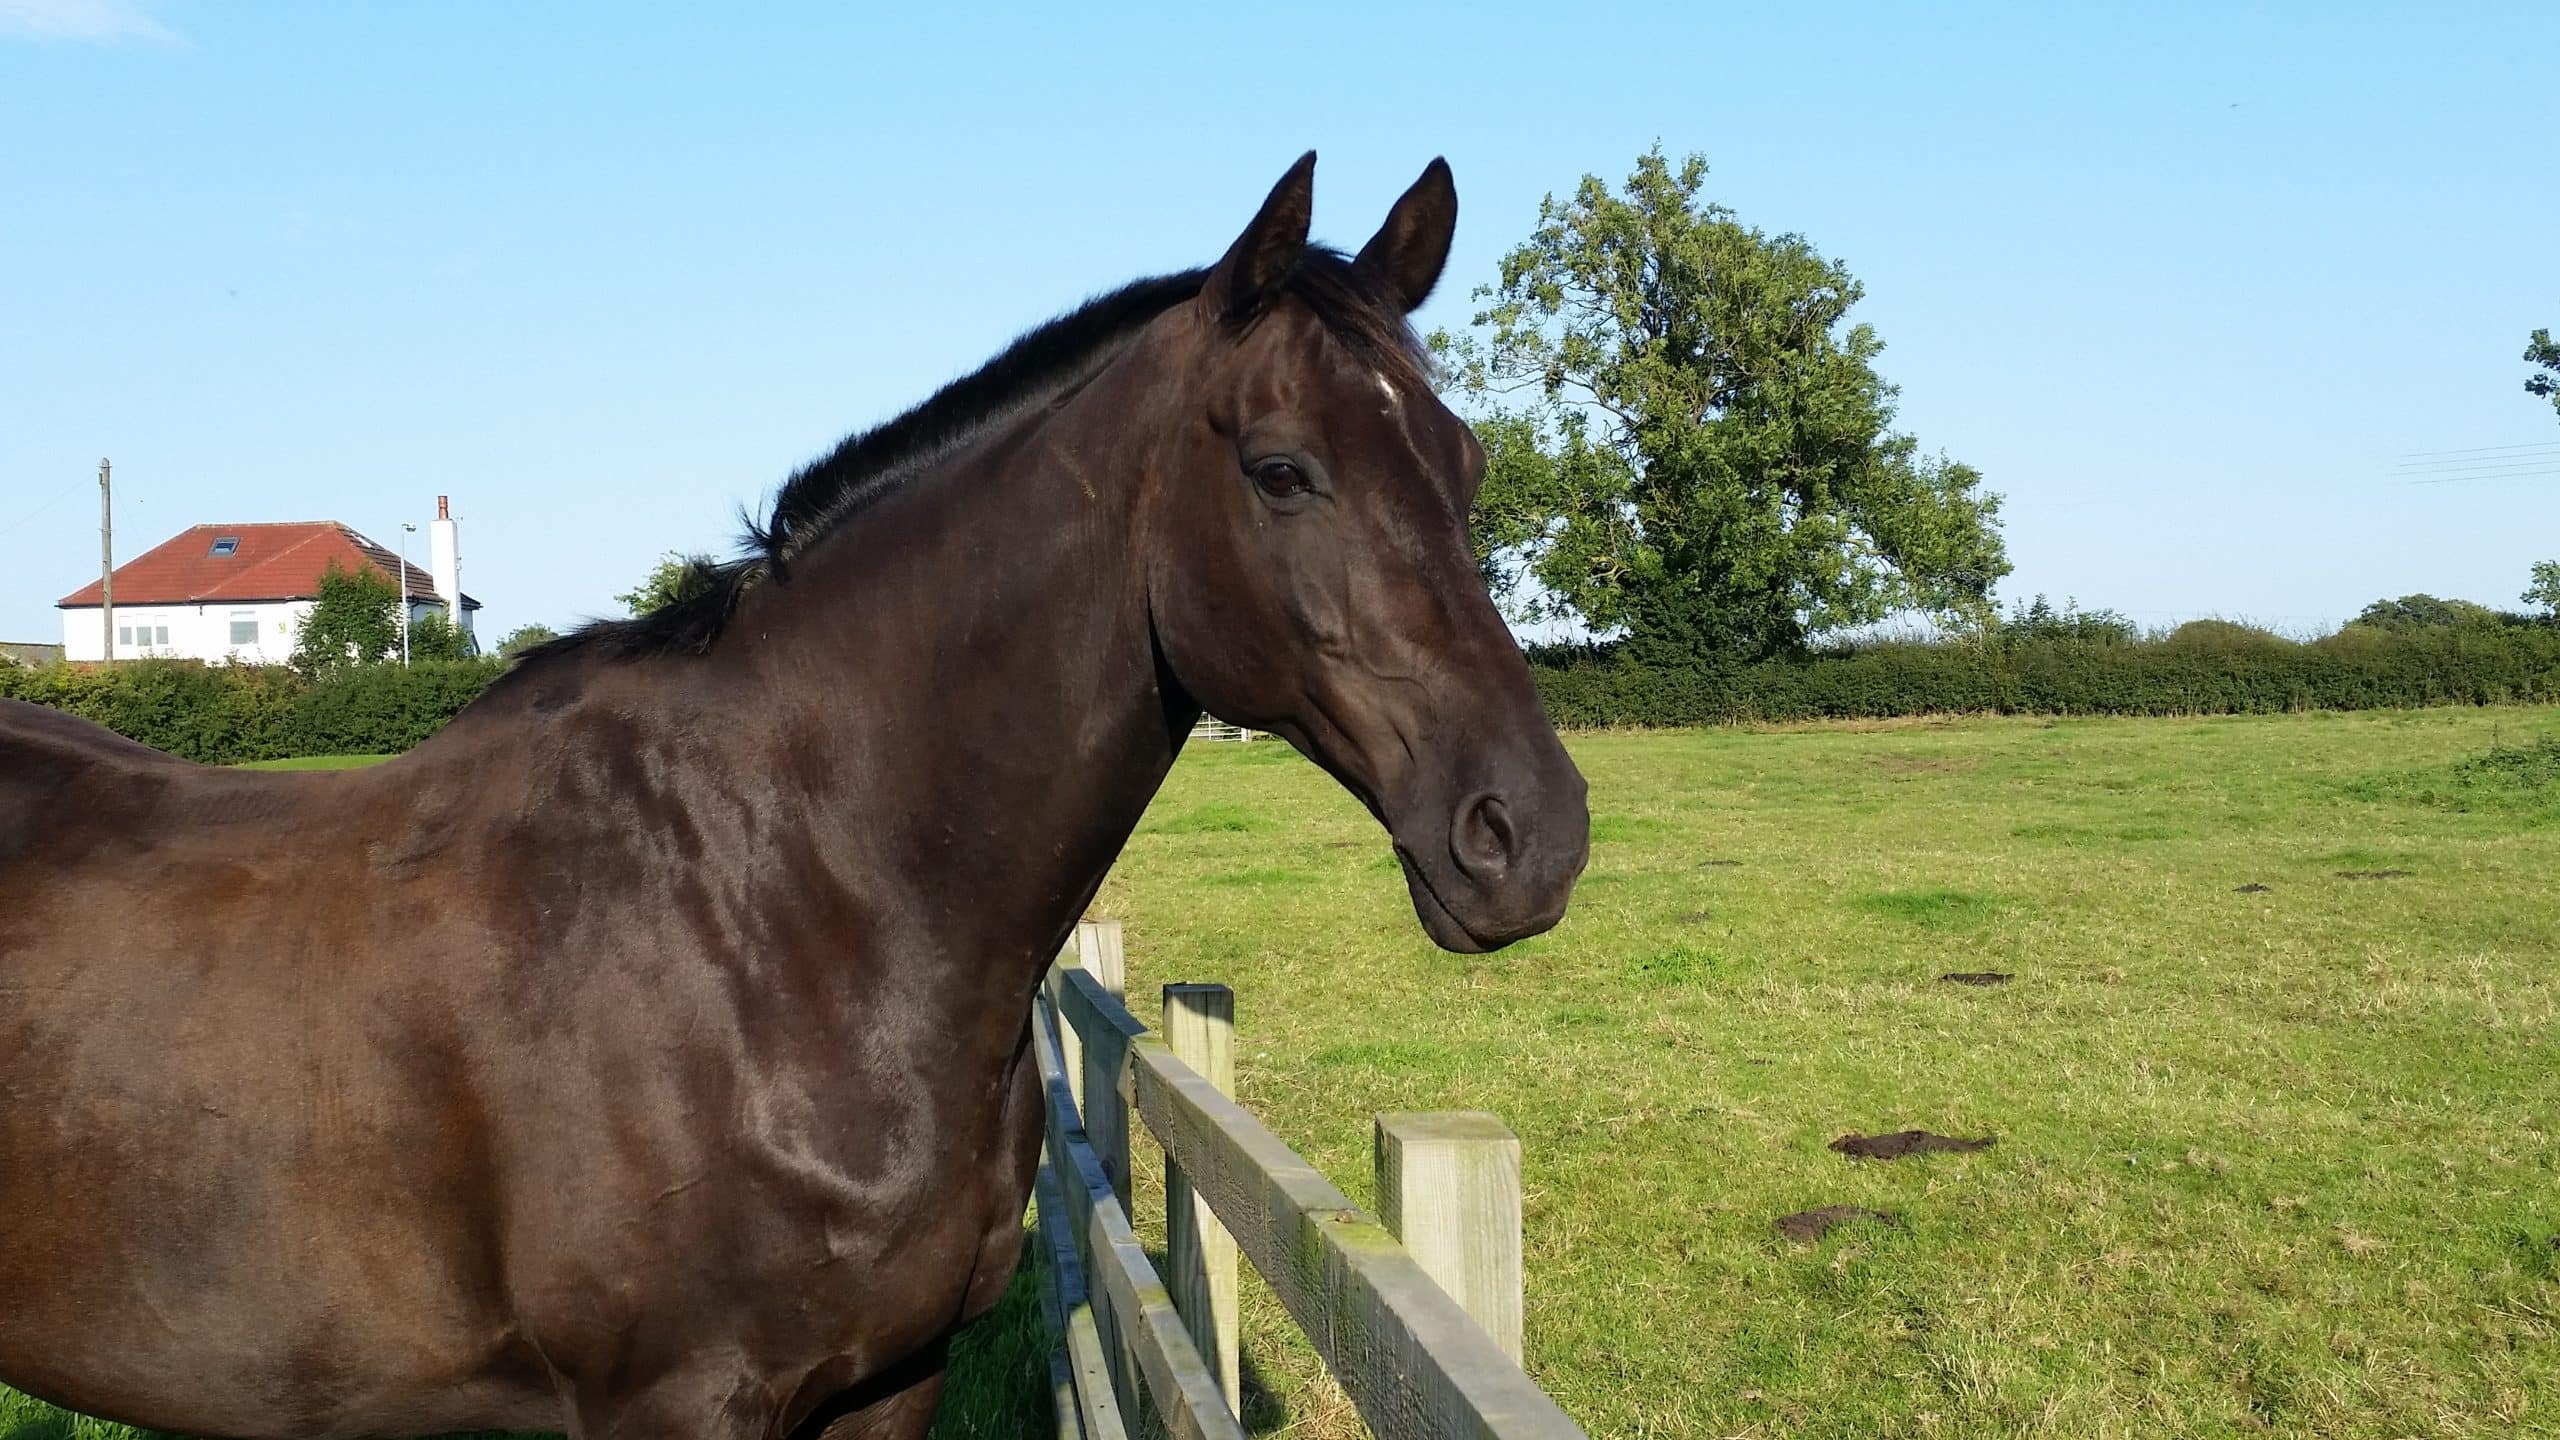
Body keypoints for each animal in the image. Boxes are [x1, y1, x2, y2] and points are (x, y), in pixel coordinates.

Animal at [0, 153, 1588, 1440]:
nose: (1529, 833)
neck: (778, 908)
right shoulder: (673, 1403)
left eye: (1465, 463)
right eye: (1280, 470)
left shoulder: (891, 1382)